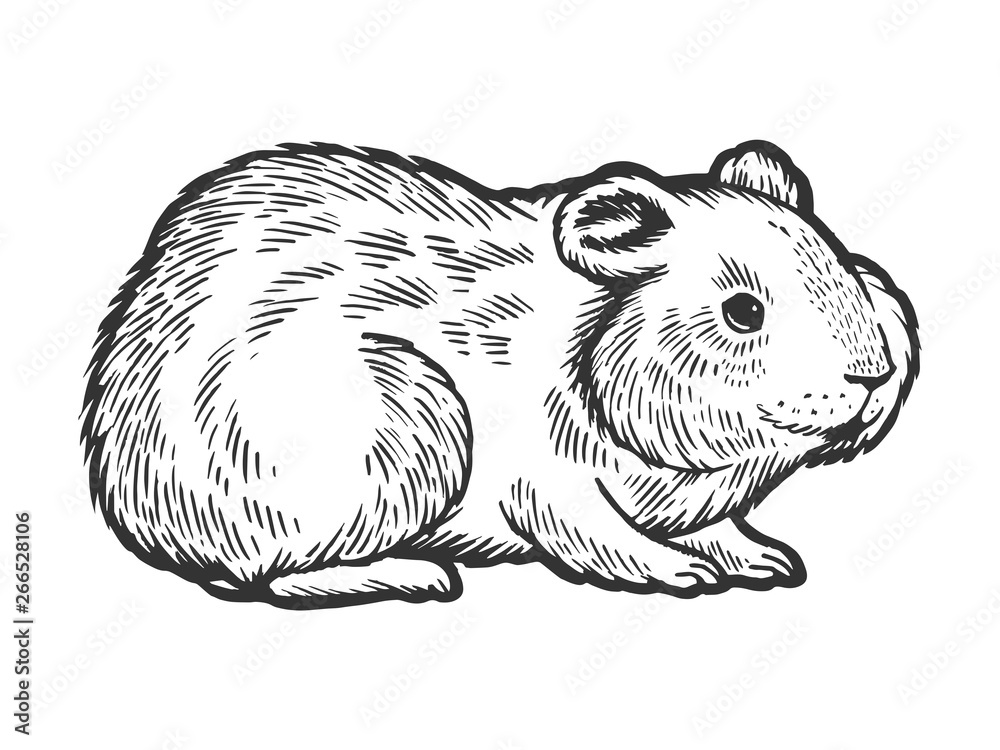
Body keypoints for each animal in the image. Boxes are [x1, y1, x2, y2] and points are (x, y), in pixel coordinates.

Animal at [82, 140, 919, 608]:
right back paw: (421, 576)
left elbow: (724, 531)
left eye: (843, 265)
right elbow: (605, 539)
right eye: (743, 309)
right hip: (410, 428)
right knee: (266, 578)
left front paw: (771, 562)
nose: (873, 376)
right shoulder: (547, 484)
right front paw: (686, 576)